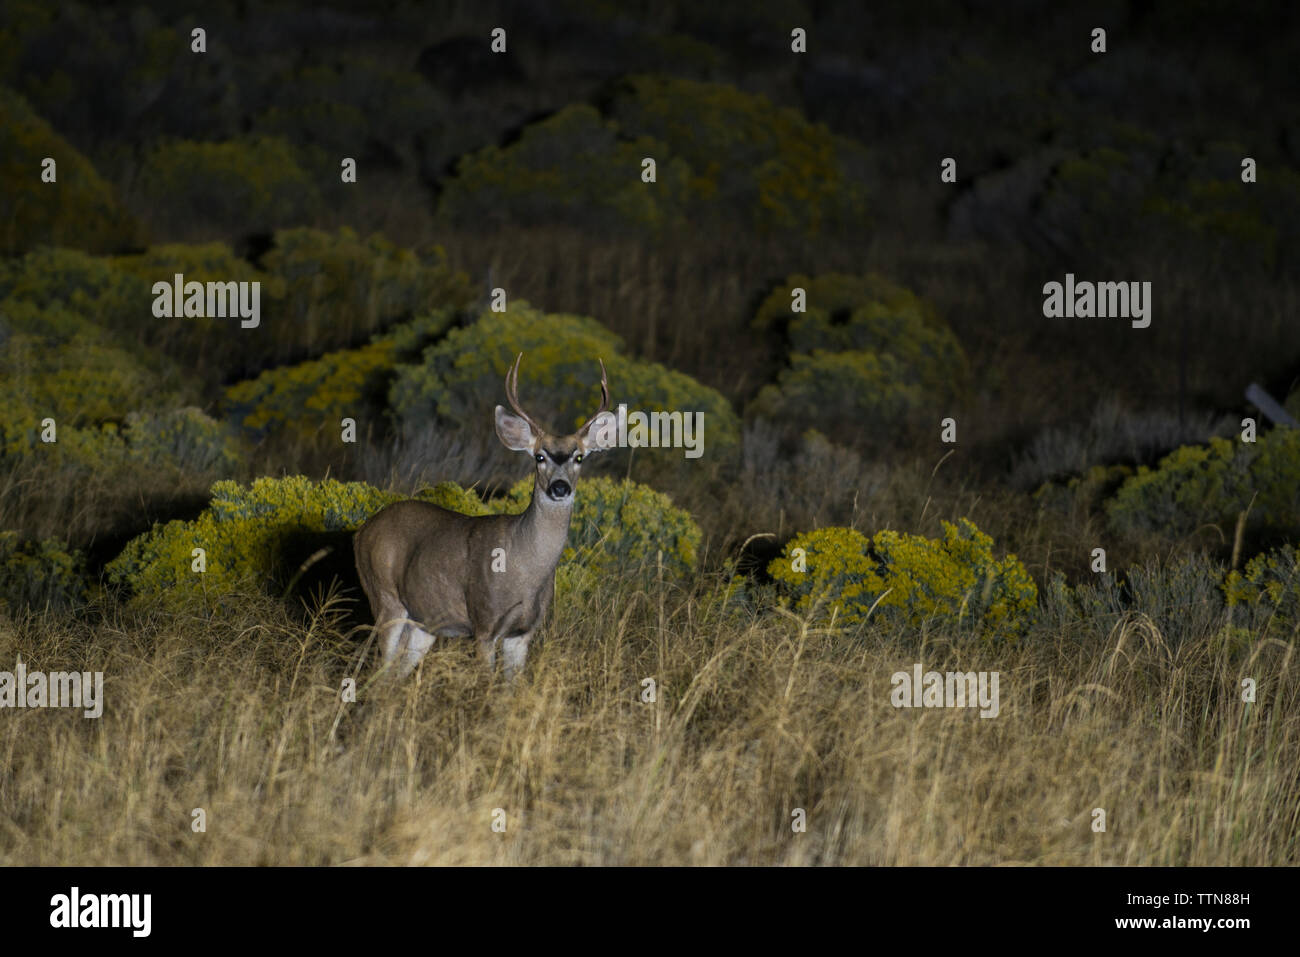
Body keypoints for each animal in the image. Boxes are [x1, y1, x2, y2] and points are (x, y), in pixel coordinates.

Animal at [354, 353, 616, 682]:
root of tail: (361, 532)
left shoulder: (523, 632)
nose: (560, 487)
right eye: (539, 456)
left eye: (579, 457)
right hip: (385, 598)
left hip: (424, 621)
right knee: (378, 671)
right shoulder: (484, 623)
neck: (525, 568)